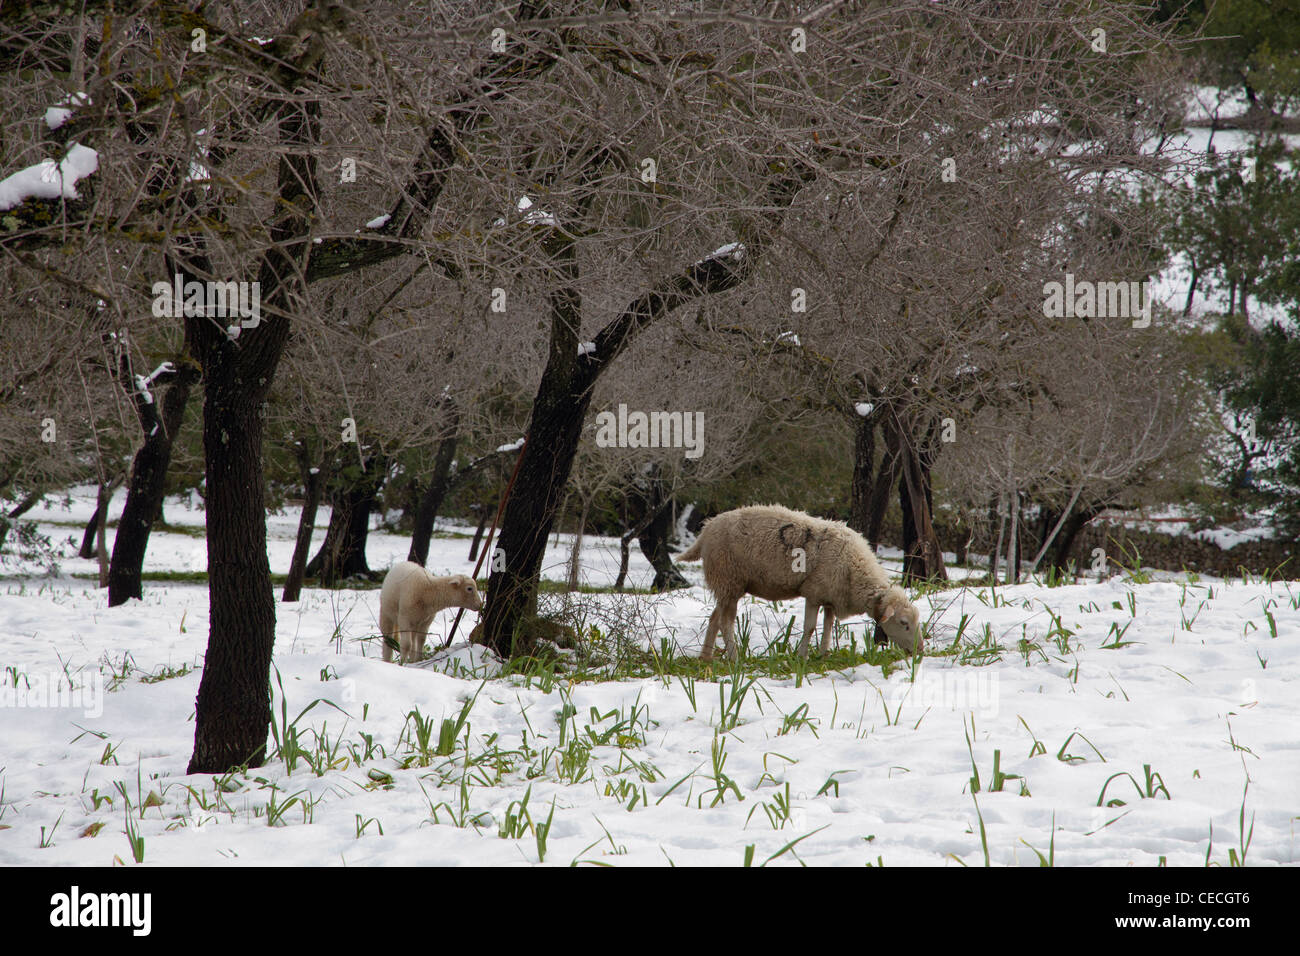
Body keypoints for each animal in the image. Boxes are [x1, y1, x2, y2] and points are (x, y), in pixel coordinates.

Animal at [675, 504, 923, 662]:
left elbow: (828, 625)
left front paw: (823, 654)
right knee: (726, 622)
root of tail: (707, 528)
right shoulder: (814, 593)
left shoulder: (831, 596)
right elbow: (810, 627)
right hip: (728, 579)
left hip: (726, 586)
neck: (855, 571)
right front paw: (802, 657)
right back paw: (735, 658)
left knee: (714, 618)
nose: (920, 650)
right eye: (903, 623)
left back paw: (706, 657)